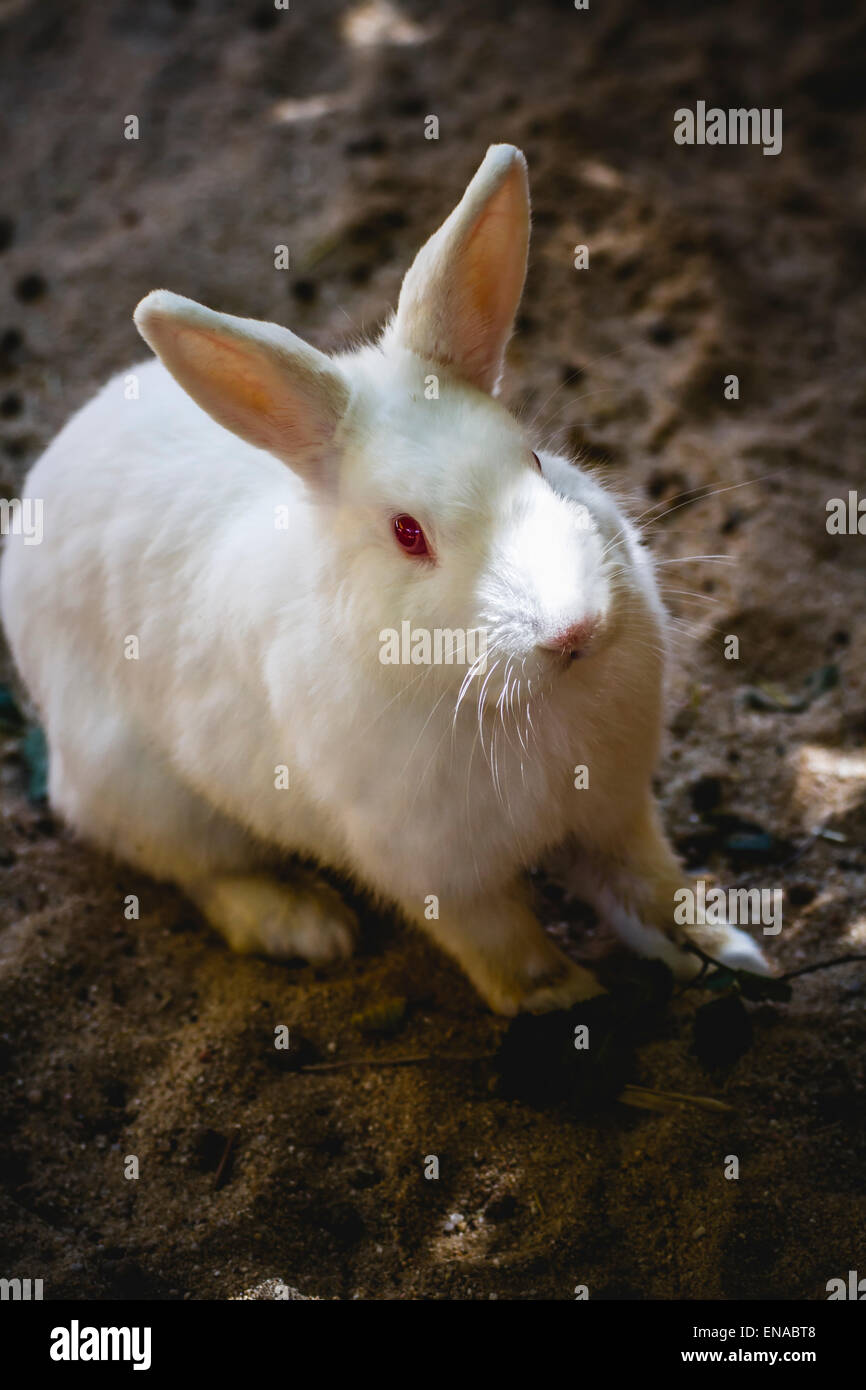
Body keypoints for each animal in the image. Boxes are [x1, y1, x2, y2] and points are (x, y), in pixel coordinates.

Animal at [0, 144, 772, 1015]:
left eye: (537, 462)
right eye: (408, 533)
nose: (573, 630)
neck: (504, 691)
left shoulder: (614, 812)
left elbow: (653, 890)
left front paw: (731, 955)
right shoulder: (437, 872)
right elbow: (503, 946)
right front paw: (567, 1000)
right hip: (148, 794)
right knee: (205, 872)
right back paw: (305, 925)